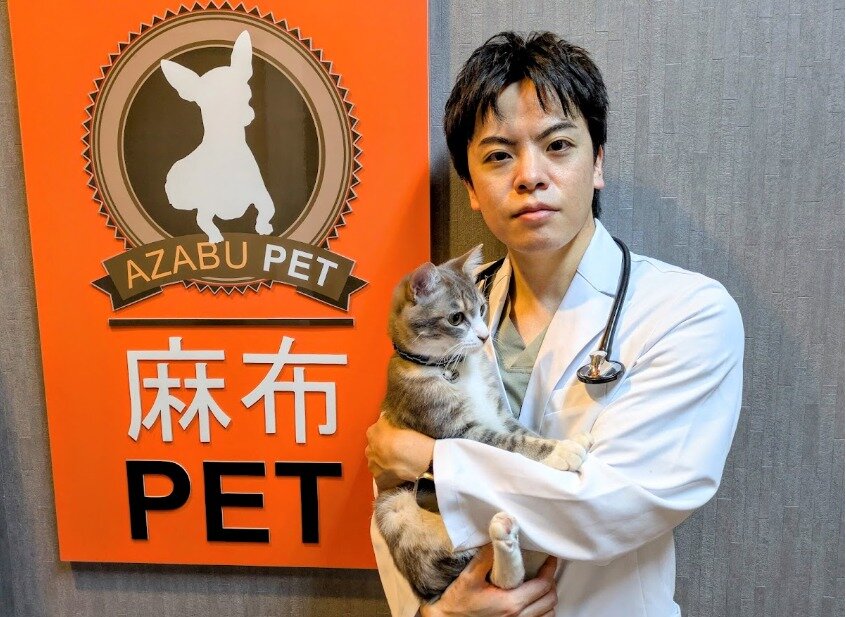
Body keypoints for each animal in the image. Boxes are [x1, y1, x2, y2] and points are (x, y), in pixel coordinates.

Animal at [374, 245, 593, 603]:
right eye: (455, 318)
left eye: (480, 308)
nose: (483, 334)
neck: (452, 369)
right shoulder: (454, 427)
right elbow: (507, 443)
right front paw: (560, 452)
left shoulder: (499, 413)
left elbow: (521, 433)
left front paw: (564, 443)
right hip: (396, 513)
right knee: (489, 577)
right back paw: (501, 539)